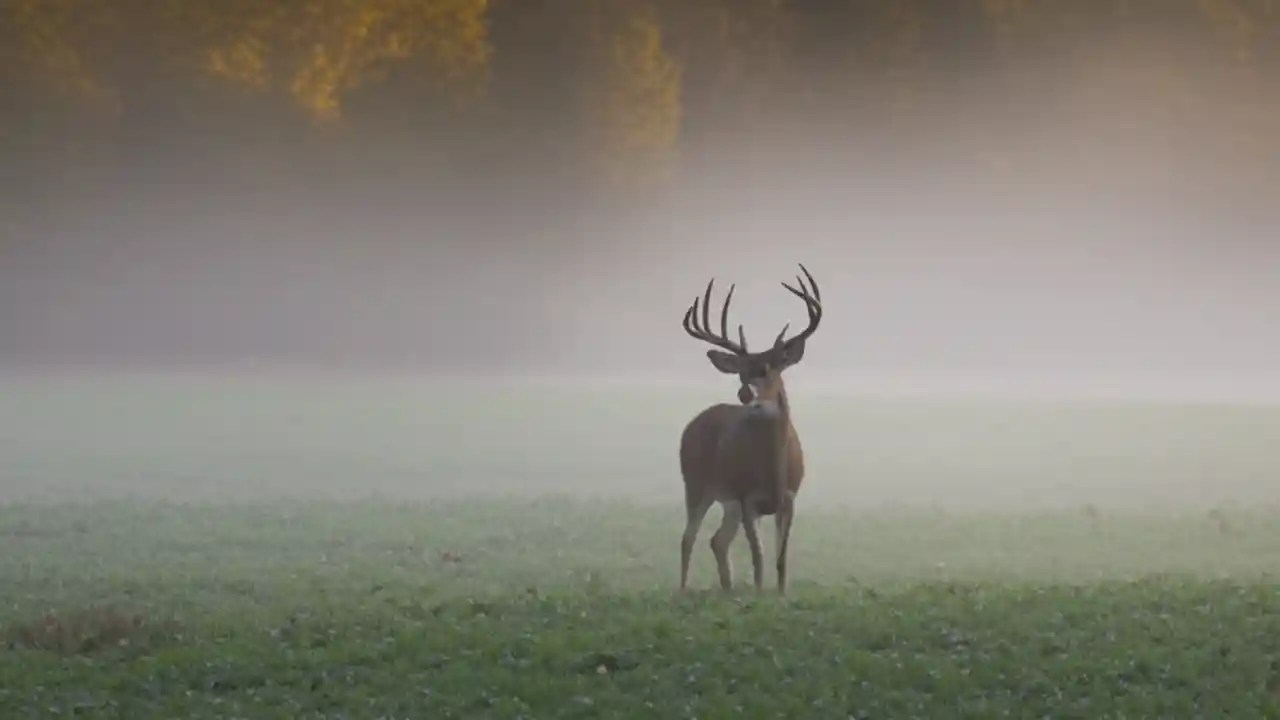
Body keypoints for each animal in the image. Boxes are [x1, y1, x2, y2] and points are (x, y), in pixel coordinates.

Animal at [678, 264, 822, 595]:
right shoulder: (748, 499)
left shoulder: (789, 498)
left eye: (768, 370)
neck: (773, 471)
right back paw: (681, 591)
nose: (746, 394)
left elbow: (781, 557)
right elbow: (758, 555)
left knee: (717, 540)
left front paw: (780, 595)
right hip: (695, 483)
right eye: (741, 373)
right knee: (688, 538)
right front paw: (757, 594)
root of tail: (693, 423)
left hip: (727, 499)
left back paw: (728, 590)